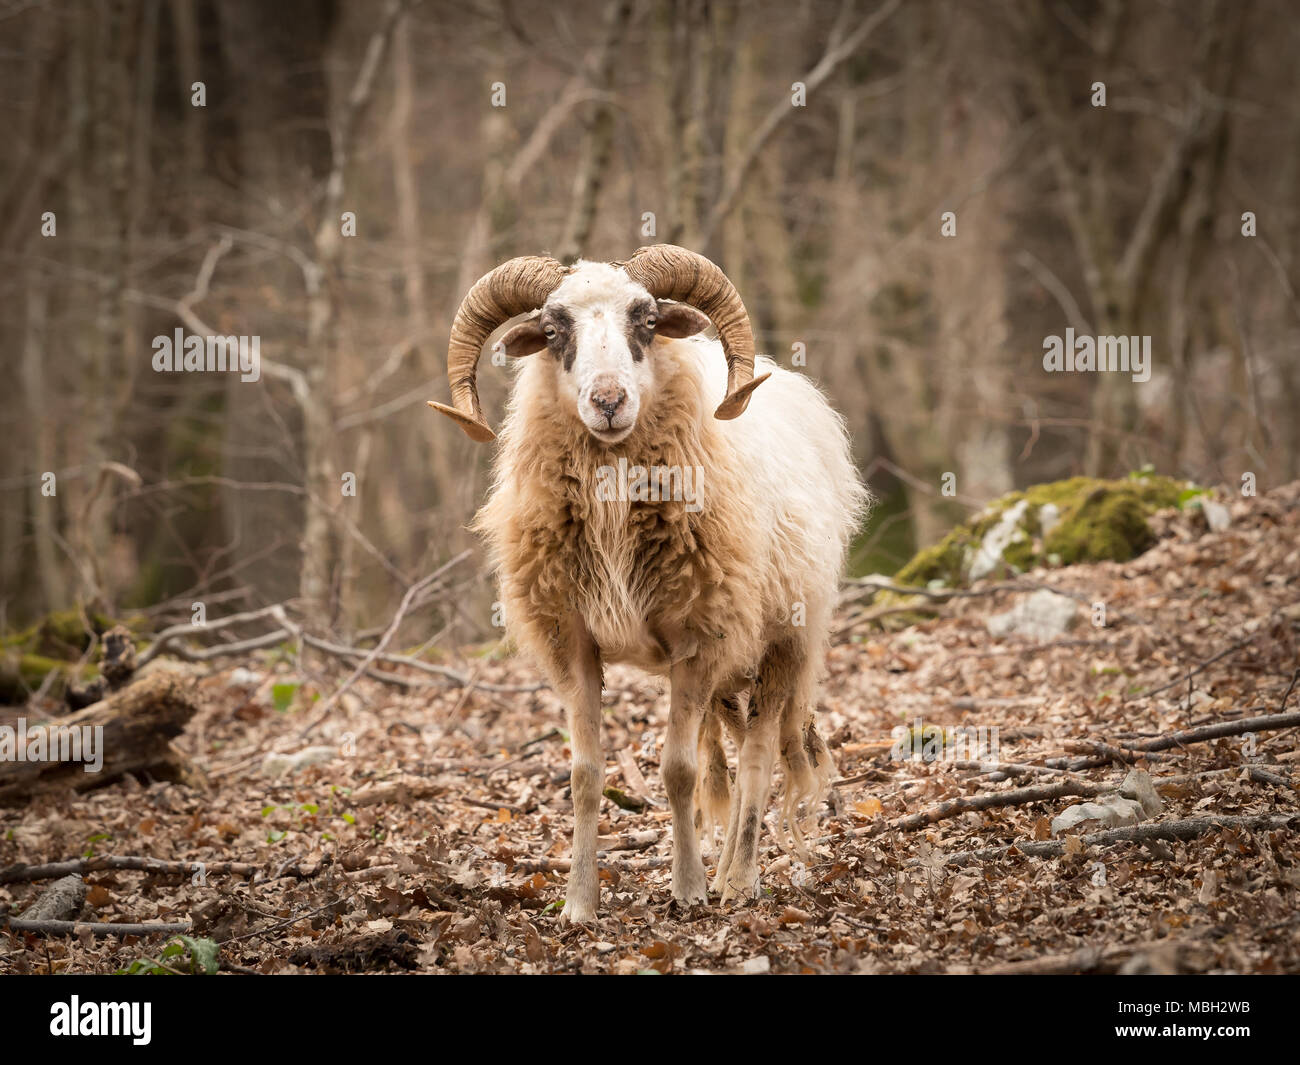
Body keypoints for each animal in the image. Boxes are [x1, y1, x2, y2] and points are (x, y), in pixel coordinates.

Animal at [429, 244, 870, 923]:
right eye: (553, 331)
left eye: (648, 320)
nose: (608, 401)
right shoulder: (575, 643)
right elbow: (585, 775)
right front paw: (578, 904)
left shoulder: (696, 640)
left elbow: (679, 771)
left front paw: (687, 891)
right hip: (731, 664)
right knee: (734, 752)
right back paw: (725, 870)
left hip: (782, 640)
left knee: (758, 757)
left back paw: (738, 881)